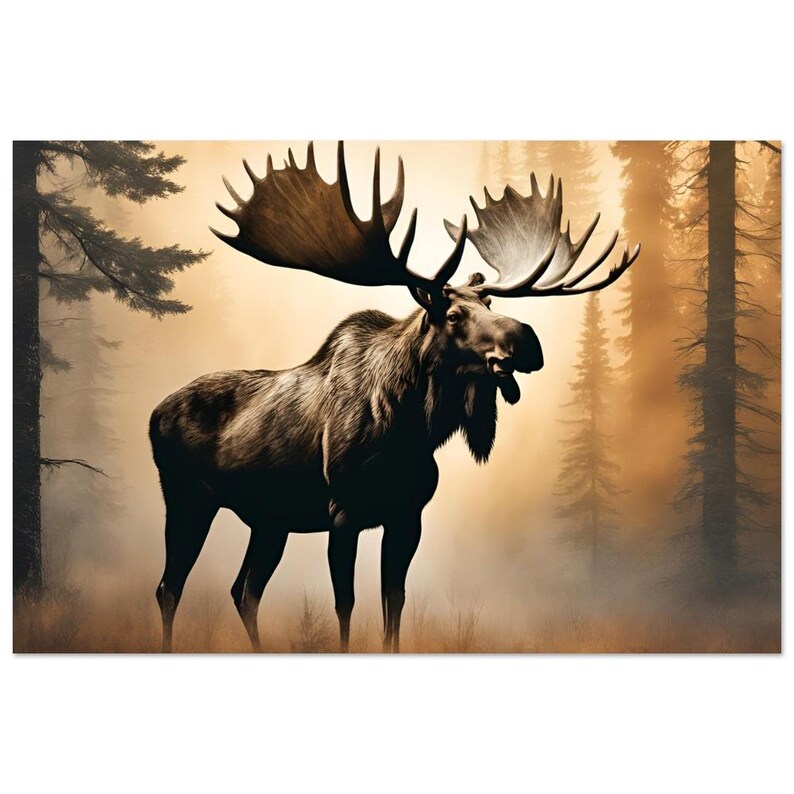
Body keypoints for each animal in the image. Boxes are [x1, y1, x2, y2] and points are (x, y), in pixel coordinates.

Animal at [149, 141, 639, 653]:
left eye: (489, 303)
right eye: (452, 314)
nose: (527, 340)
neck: (411, 429)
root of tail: (154, 413)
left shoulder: (407, 516)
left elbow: (394, 603)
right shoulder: (343, 513)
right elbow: (346, 605)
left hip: (270, 519)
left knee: (243, 590)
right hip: (187, 498)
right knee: (169, 587)